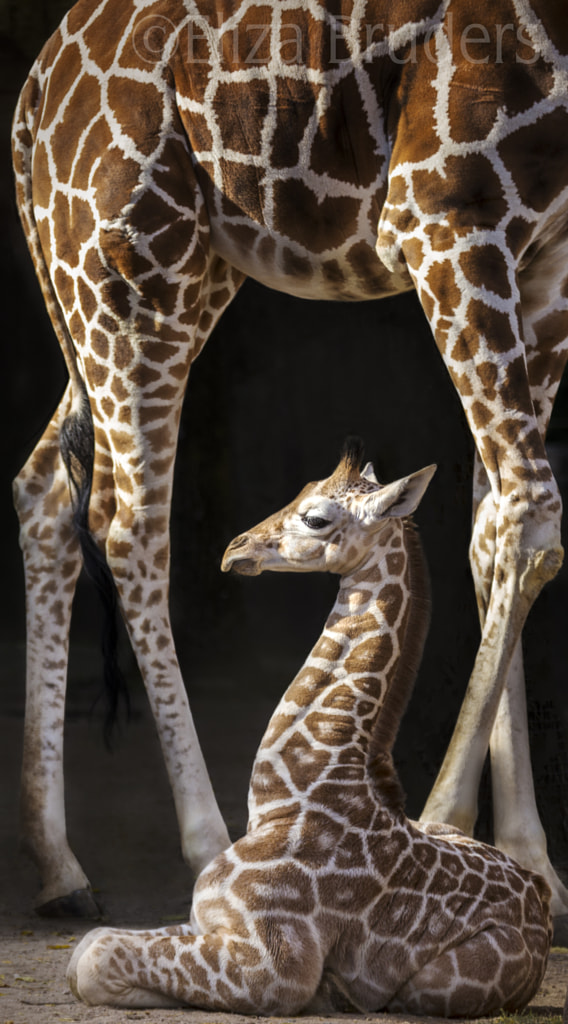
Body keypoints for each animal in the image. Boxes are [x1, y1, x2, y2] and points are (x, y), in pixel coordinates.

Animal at [11, 0, 568, 925]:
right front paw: (449, 827)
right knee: (128, 527)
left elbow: (494, 526)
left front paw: (531, 865)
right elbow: (531, 515)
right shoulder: (446, 212)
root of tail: (33, 92)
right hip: (134, 274)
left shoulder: (547, 255)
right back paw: (207, 847)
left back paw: (60, 868)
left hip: (149, 276)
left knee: (45, 489)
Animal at [66, 441, 552, 1015]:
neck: (293, 795)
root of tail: (542, 910)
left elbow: (95, 958)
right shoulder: (207, 923)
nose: (234, 549)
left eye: (316, 518)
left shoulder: (276, 966)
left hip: (431, 986)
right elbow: (90, 946)